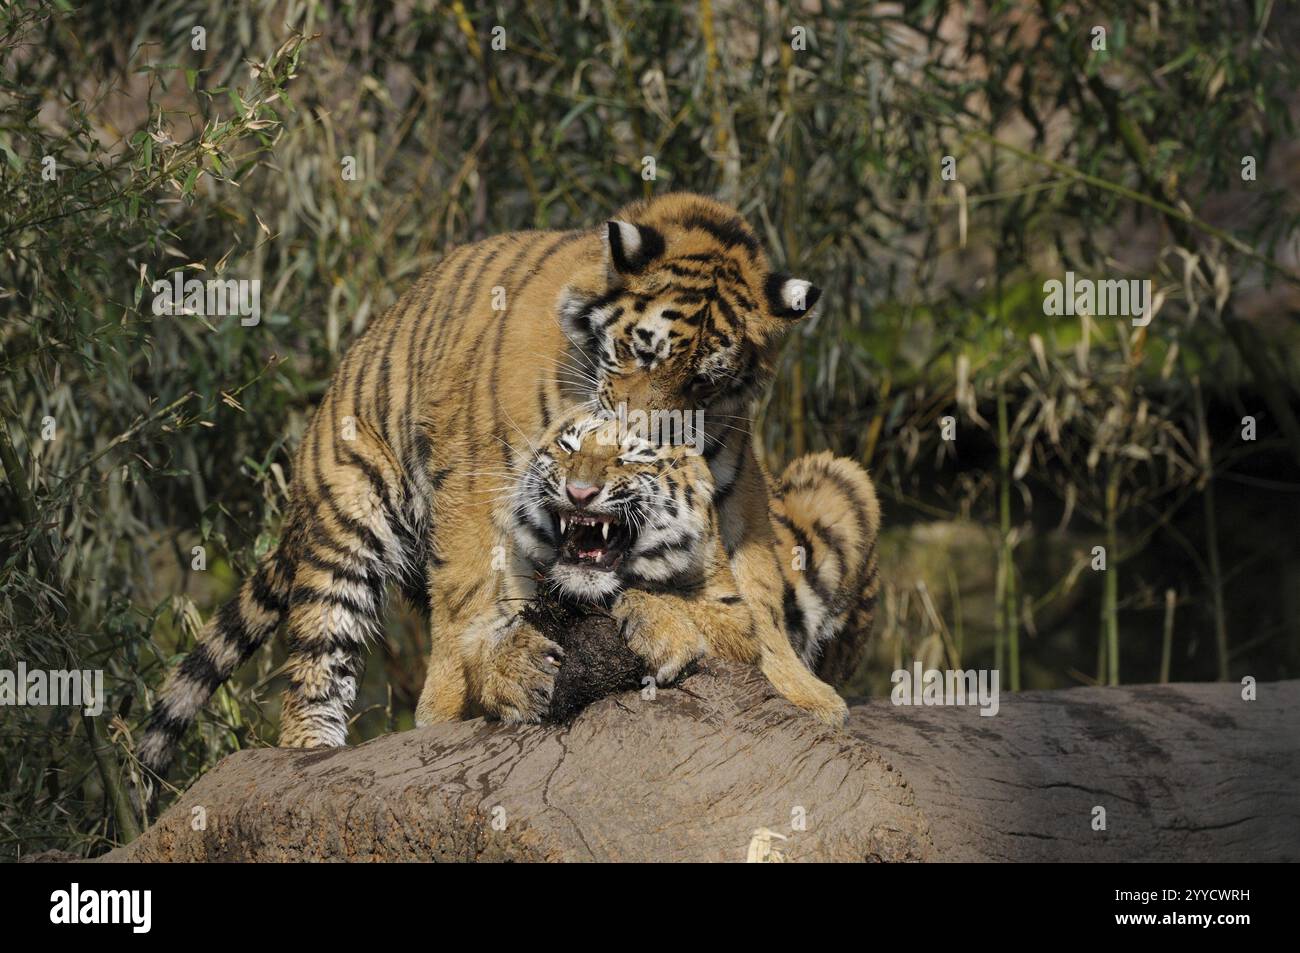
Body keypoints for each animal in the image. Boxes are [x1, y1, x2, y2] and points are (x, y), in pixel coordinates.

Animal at [140, 192, 849, 777]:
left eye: (705, 380)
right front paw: (451, 702)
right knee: (320, 659)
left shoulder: (735, 484)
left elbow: (757, 593)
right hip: (347, 524)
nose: (644, 442)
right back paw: (308, 751)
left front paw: (804, 693)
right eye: (642, 352)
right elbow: (471, 593)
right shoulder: (480, 476)